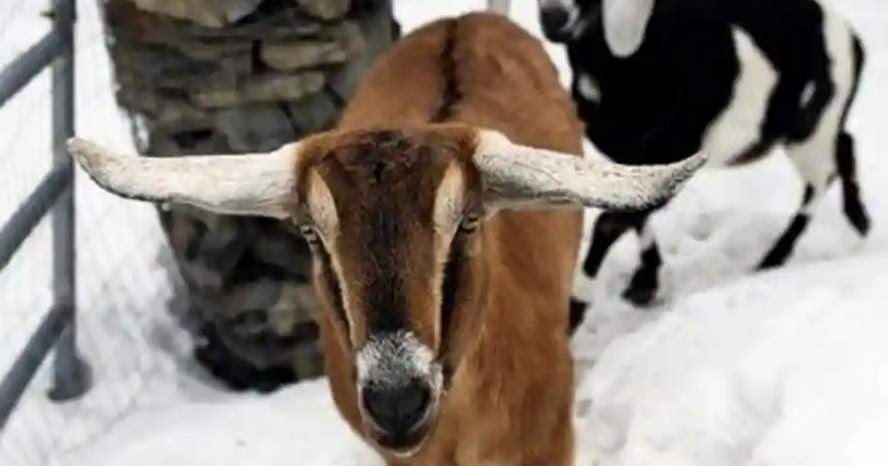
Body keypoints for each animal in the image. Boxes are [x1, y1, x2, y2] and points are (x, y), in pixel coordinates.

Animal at [537, 0, 871, 314]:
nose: (554, 18)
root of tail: (854, 40)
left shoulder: (673, 152)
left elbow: (610, 222)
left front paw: (576, 308)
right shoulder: (629, 158)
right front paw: (645, 283)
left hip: (812, 132)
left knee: (821, 179)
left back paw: (773, 259)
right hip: (812, 129)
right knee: (845, 145)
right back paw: (859, 220)